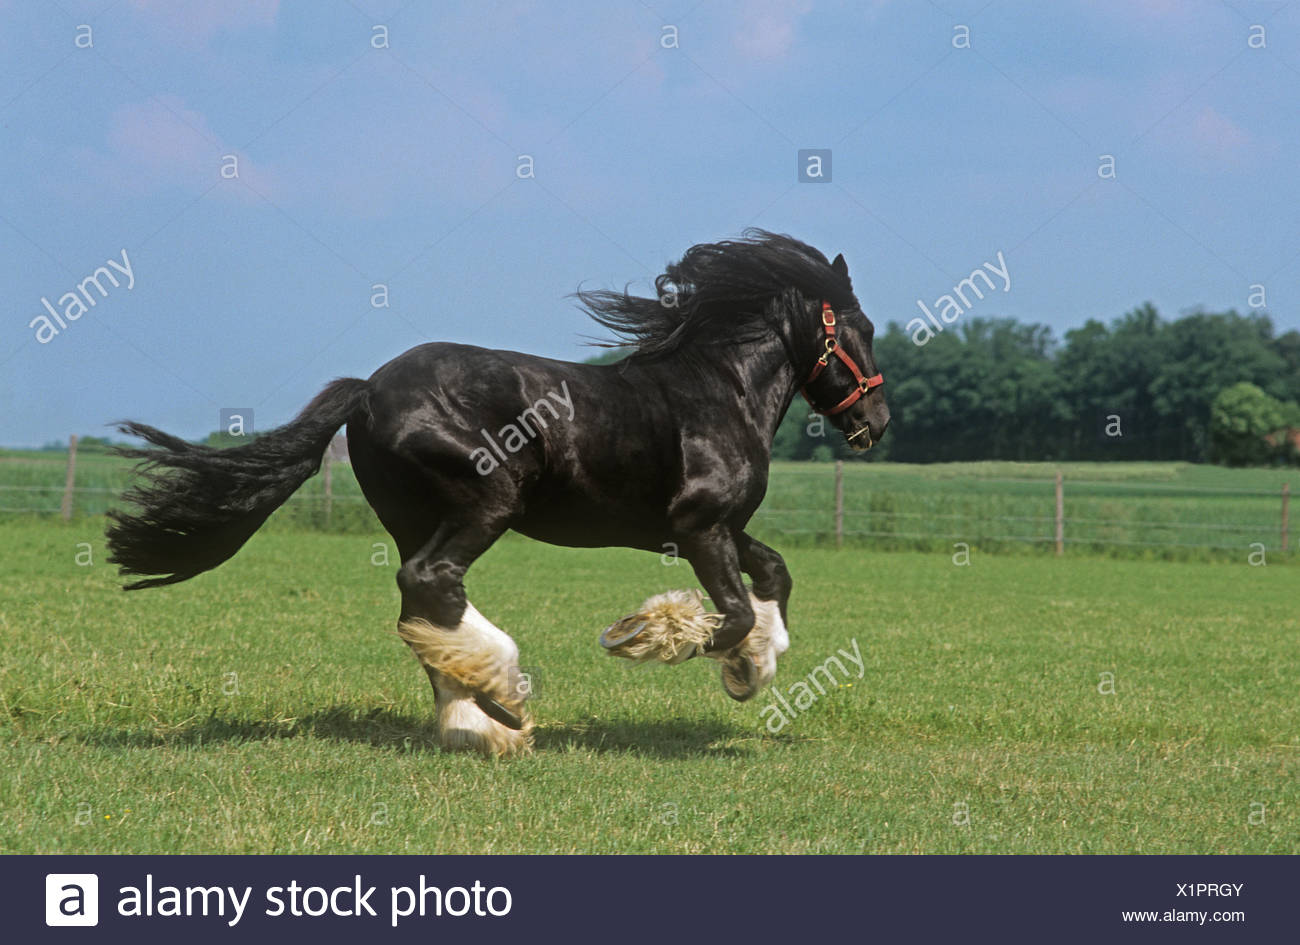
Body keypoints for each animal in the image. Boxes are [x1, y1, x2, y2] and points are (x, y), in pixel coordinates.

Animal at [105, 231, 890, 756]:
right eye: (863, 330)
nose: (877, 422)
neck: (718, 393)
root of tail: (368, 391)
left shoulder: (715, 528)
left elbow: (773, 576)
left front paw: (751, 666)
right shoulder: (700, 527)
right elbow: (729, 613)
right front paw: (659, 638)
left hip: (417, 516)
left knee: (420, 602)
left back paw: (476, 719)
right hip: (487, 501)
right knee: (430, 581)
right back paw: (504, 702)